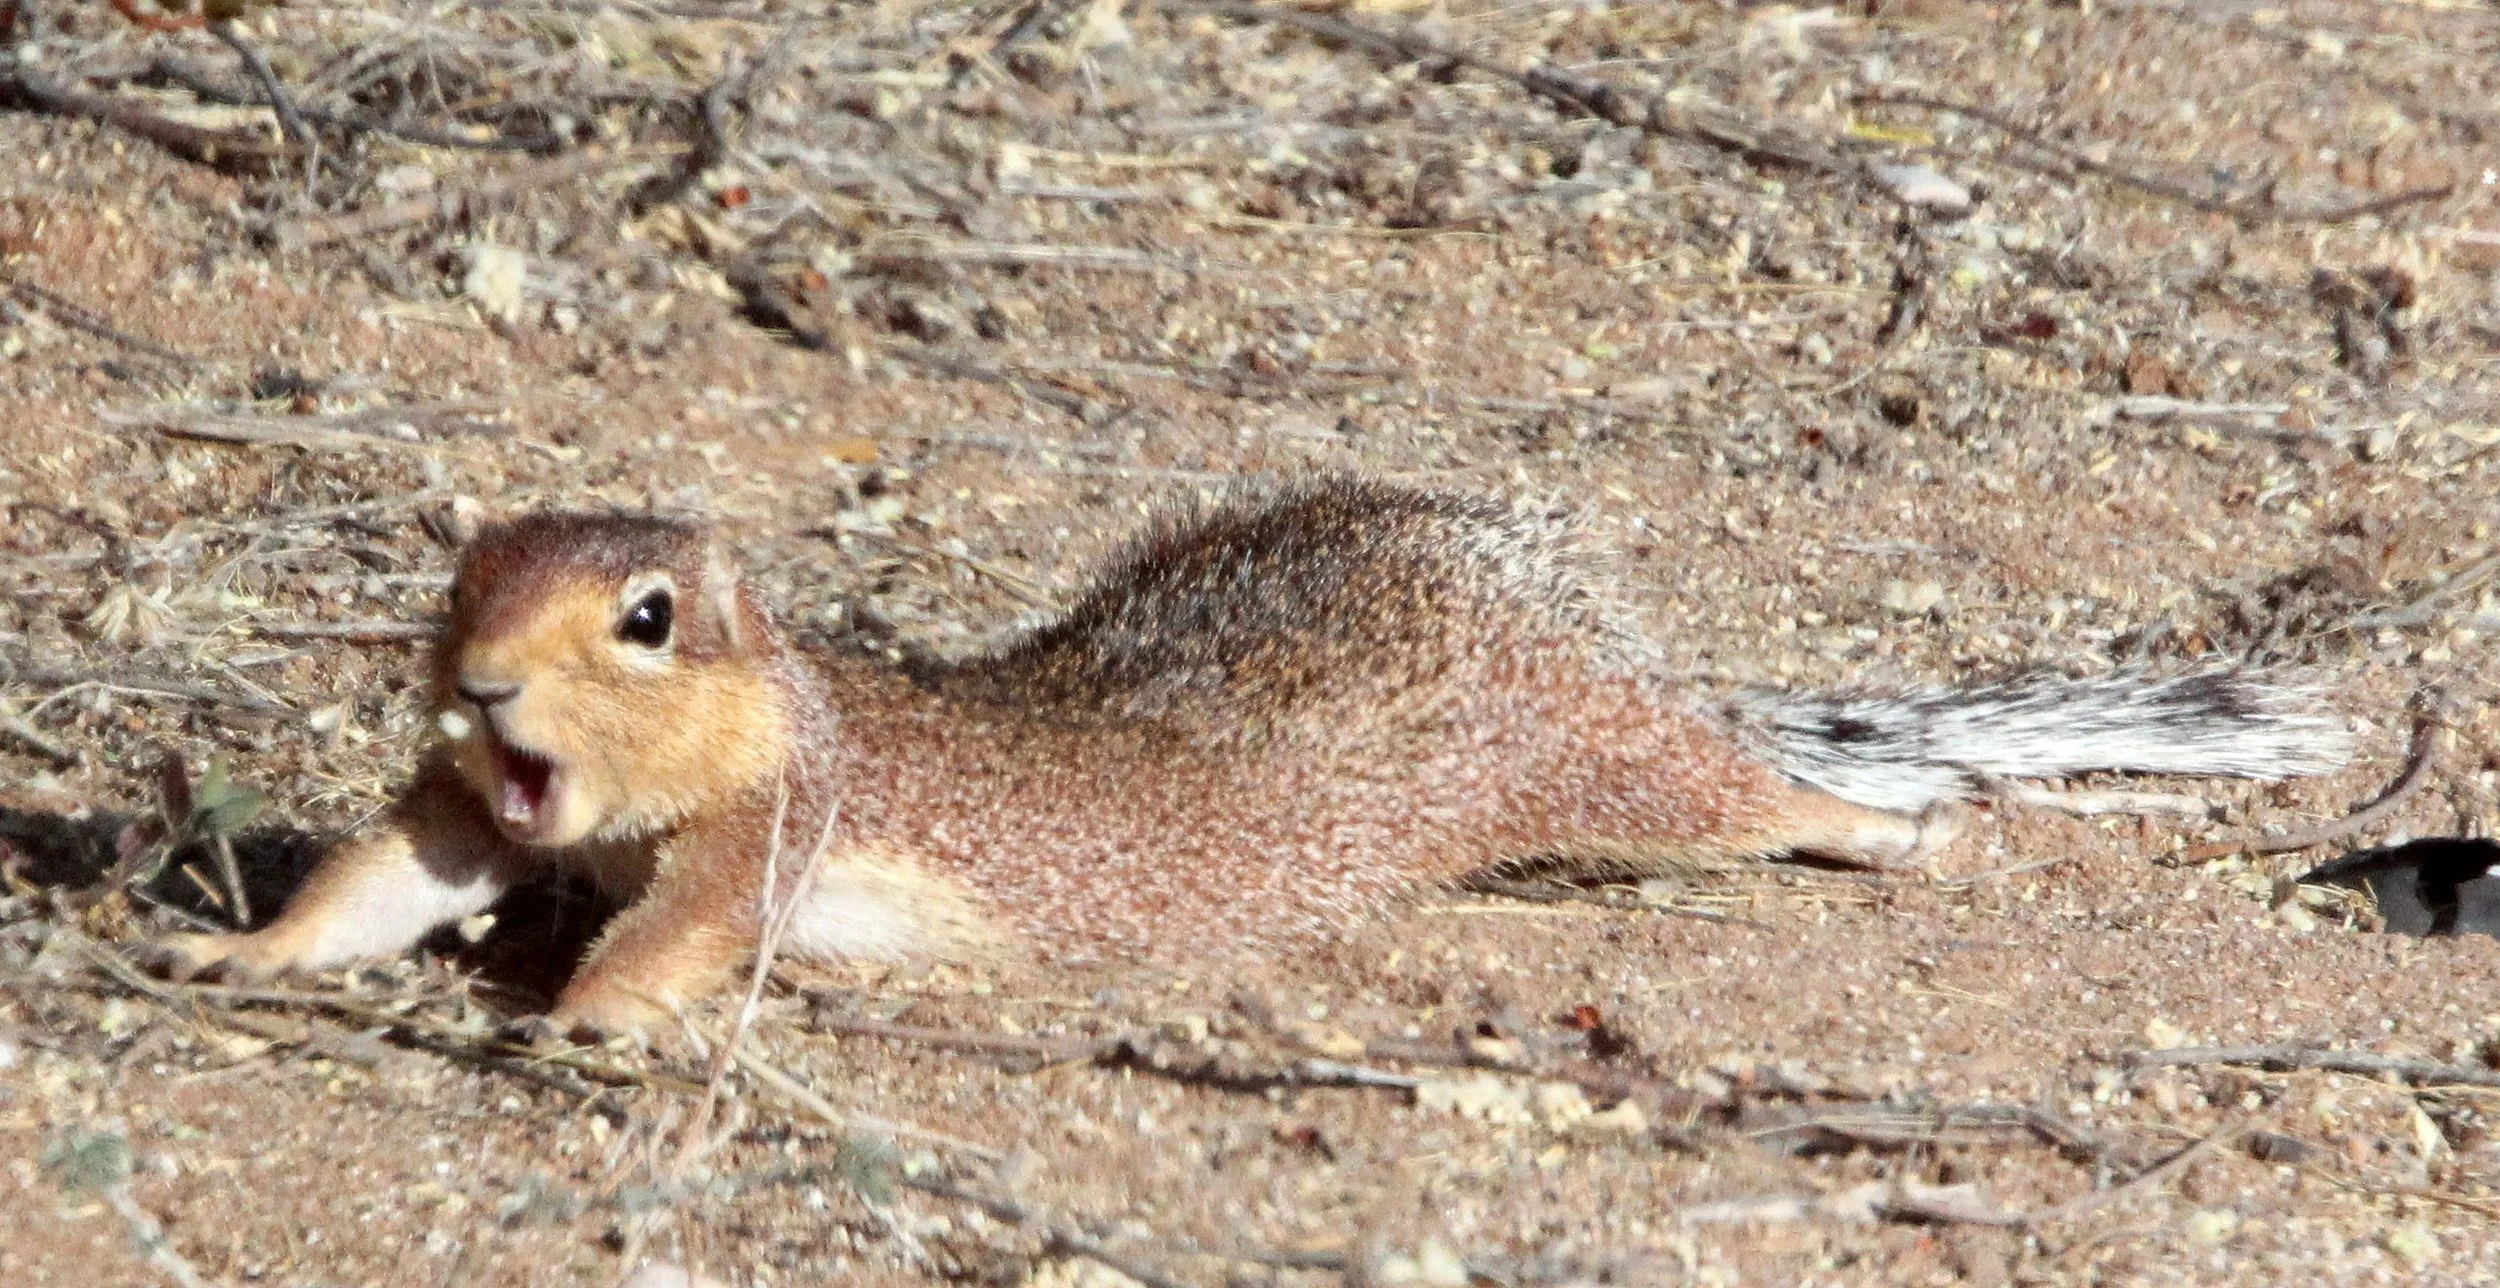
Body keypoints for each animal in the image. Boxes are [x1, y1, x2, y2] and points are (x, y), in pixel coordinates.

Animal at [144, 477, 2354, 1039]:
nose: (477, 685)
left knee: (1765, 800)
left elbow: (677, 933)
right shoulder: (472, 819)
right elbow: (385, 879)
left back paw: (1907, 830)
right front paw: (230, 950)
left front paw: (577, 1016)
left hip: (1604, 776)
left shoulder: (777, 828)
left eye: (648, 618)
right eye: (464, 569)